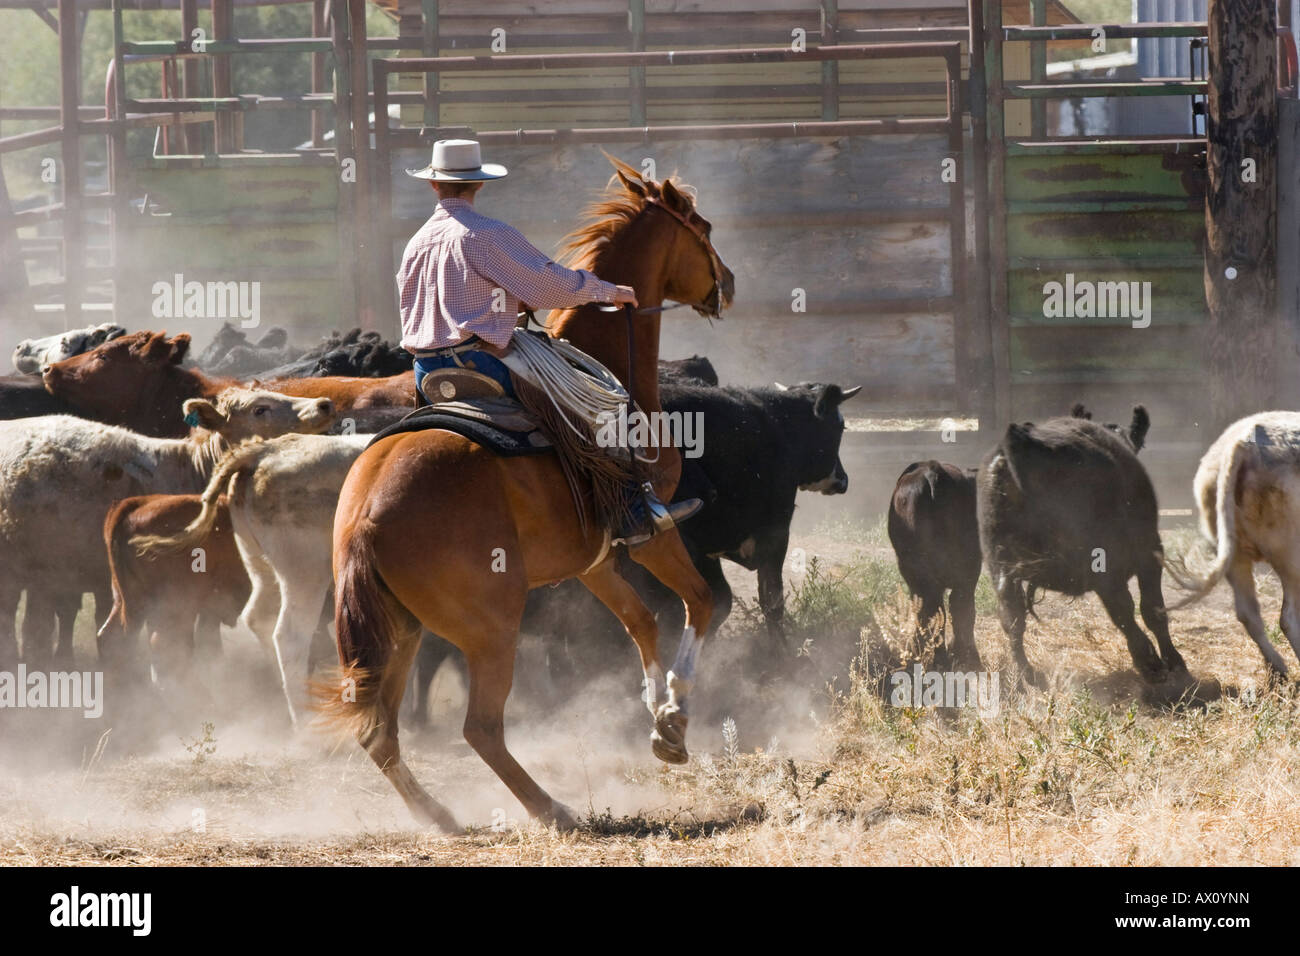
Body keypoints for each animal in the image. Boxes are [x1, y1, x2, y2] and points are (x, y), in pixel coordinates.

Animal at [976, 405, 1186, 688]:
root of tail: (1020, 441)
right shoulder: (1151, 553)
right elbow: (1153, 610)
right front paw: (1173, 660)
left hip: (1001, 564)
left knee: (1012, 618)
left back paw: (1027, 674)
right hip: (1104, 561)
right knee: (1122, 609)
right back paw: (1149, 662)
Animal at [1165, 411, 1300, 678]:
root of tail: (1242, 443)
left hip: (1235, 557)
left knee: (1248, 613)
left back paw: (1278, 667)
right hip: (1291, 555)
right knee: (1288, 618)